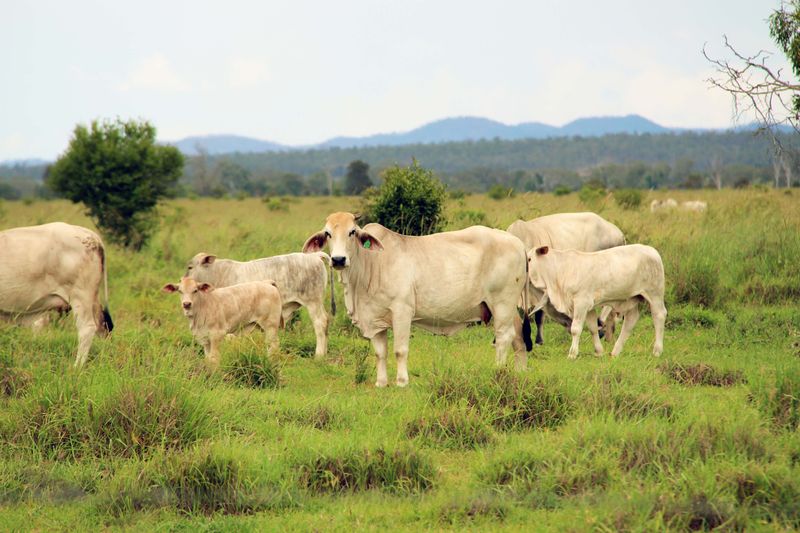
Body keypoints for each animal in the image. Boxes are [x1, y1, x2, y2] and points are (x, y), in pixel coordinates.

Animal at [0, 222, 113, 367]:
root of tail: (91, 235)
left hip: (80, 296)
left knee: (86, 329)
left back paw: (77, 367)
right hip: (92, 301)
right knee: (102, 328)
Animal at [184, 251, 332, 358]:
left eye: (190, 267)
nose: (184, 280)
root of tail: (314, 256)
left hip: (313, 301)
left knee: (320, 323)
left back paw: (319, 355)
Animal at [303, 212, 532, 388]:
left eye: (352, 232)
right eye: (328, 233)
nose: (338, 259)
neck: (372, 264)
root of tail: (519, 243)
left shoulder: (402, 311)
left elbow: (400, 350)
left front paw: (402, 382)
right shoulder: (375, 318)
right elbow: (380, 353)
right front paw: (381, 383)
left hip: (502, 304)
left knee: (503, 338)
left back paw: (498, 372)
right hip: (508, 308)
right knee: (518, 339)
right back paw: (519, 374)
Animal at [527, 244, 666, 360]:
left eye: (529, 259)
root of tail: (652, 250)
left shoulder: (581, 302)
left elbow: (576, 329)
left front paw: (572, 354)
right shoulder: (589, 307)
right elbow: (593, 328)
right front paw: (599, 351)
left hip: (655, 294)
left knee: (659, 316)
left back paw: (657, 351)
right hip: (632, 298)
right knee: (630, 321)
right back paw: (615, 352)